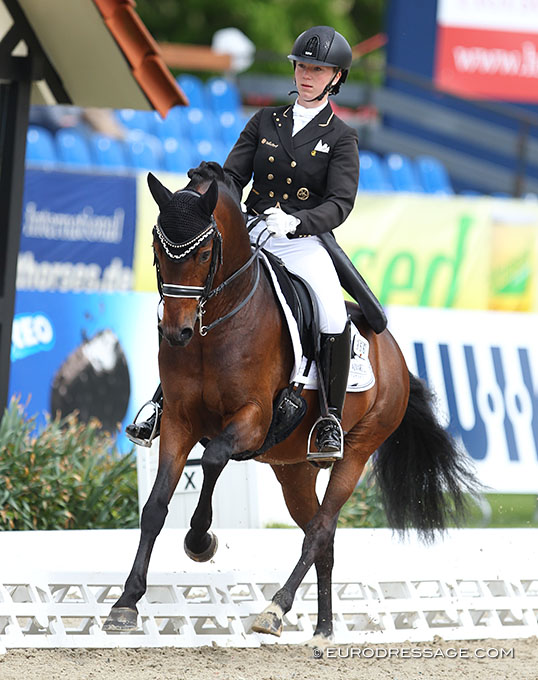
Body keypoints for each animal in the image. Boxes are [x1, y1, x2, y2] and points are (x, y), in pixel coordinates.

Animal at [103, 162, 478, 641]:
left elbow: (213, 460)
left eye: (204, 255)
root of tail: (392, 350)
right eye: (156, 249)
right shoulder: (179, 423)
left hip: (357, 451)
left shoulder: (253, 419)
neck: (216, 324)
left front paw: (200, 541)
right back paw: (323, 628)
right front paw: (125, 603)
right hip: (293, 470)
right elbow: (154, 508)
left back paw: (276, 608)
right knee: (324, 538)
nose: (175, 332)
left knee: (319, 529)